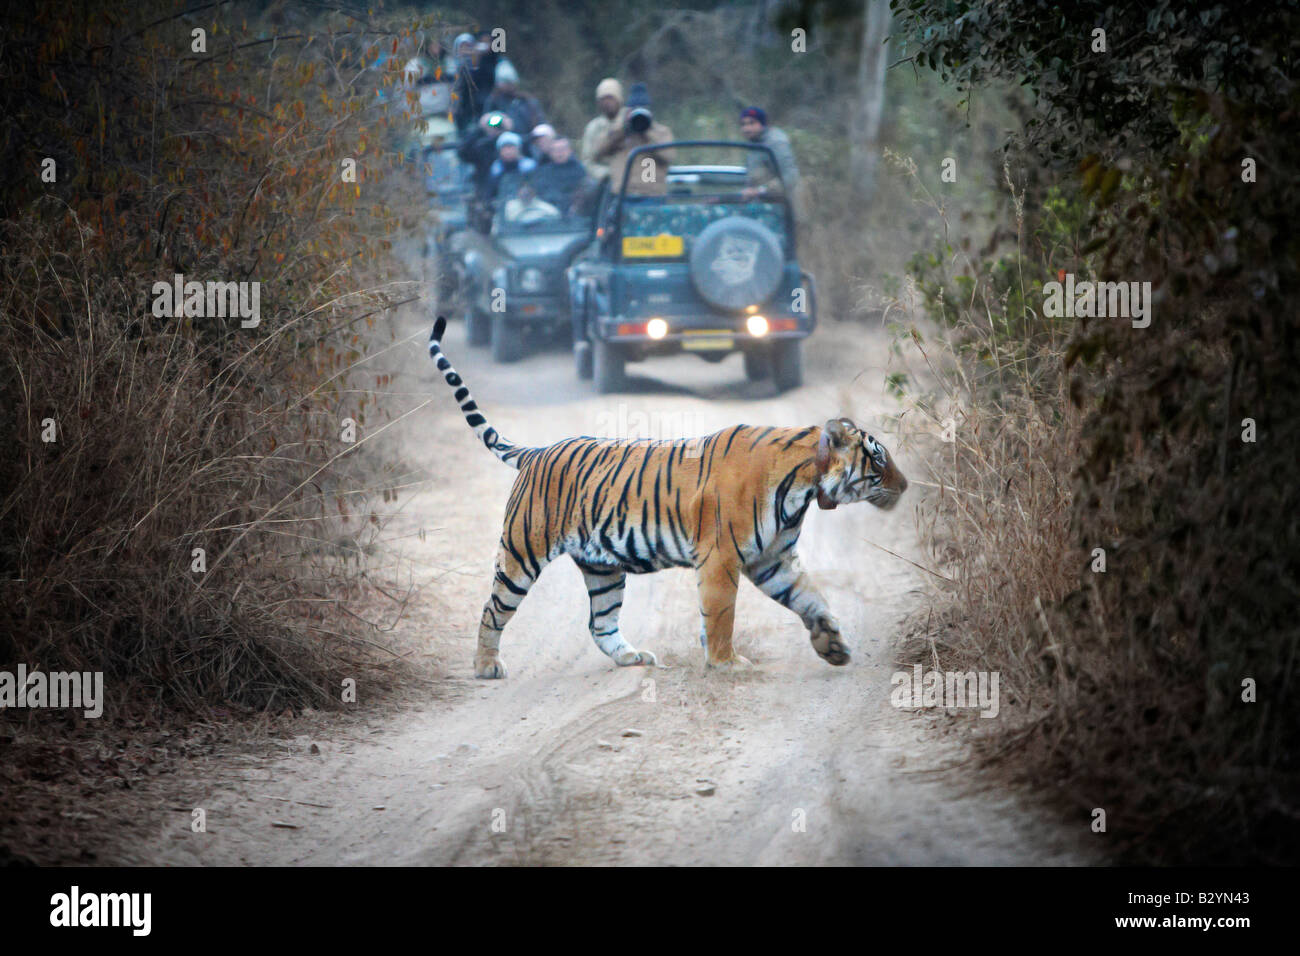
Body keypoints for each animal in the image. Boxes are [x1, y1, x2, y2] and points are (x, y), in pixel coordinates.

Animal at [427, 316, 908, 678]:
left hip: (602, 568)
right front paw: (726, 663)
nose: (905, 487)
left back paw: (631, 657)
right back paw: (486, 666)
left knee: (600, 622)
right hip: (521, 553)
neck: (804, 485)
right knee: (493, 609)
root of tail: (537, 452)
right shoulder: (721, 557)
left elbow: (812, 598)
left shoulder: (774, 559)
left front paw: (832, 646)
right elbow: (722, 613)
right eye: (879, 458)